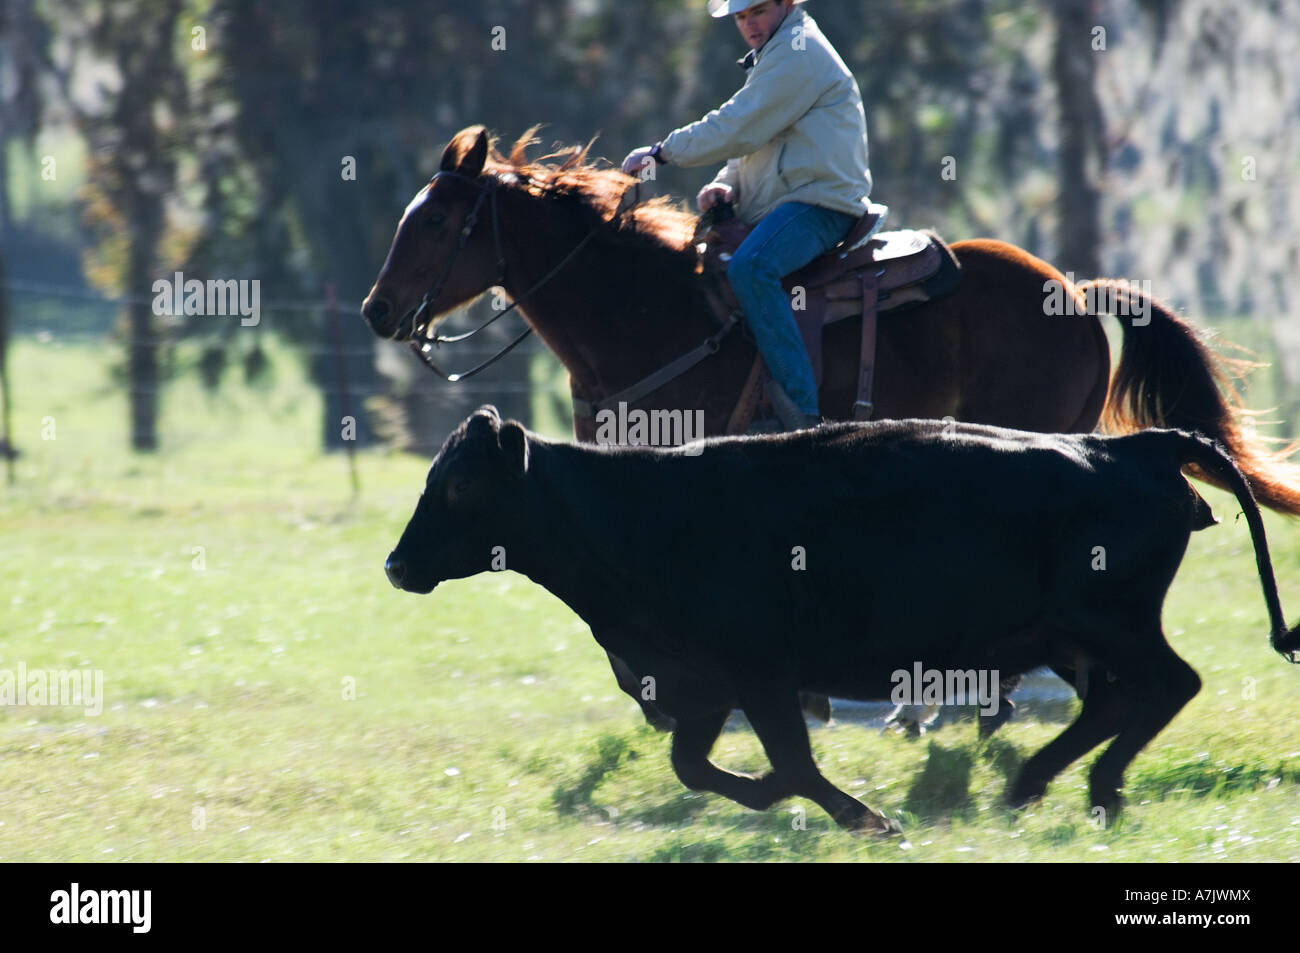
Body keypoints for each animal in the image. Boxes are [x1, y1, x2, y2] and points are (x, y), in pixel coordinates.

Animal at [383, 406, 1300, 833]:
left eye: (460, 483)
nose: (395, 565)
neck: (638, 513)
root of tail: (1127, 444)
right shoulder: (704, 684)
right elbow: (696, 764)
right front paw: (778, 799)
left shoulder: (760, 674)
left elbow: (790, 759)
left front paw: (867, 817)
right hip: (1073, 637)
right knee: (1116, 700)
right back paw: (1040, 783)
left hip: (1111, 623)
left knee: (1169, 684)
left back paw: (1097, 786)